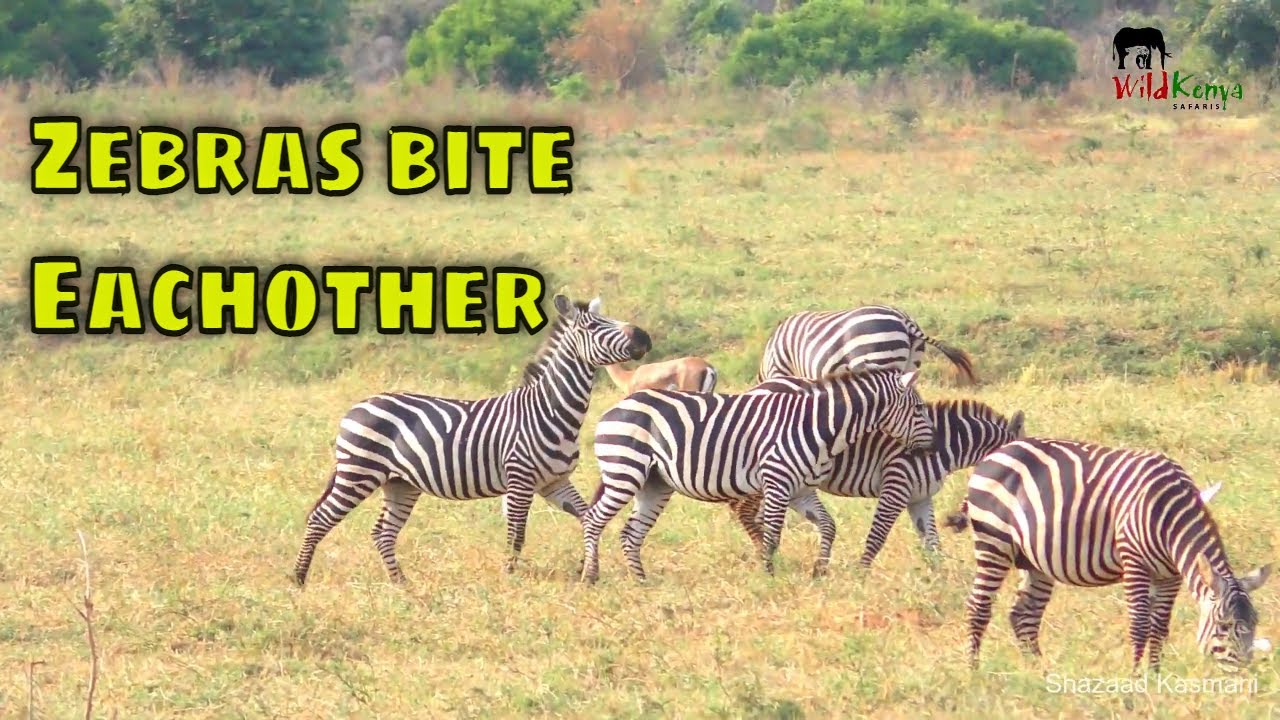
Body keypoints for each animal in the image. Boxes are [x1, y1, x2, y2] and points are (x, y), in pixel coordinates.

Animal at [291, 294, 652, 586]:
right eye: (593, 326)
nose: (644, 336)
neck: (549, 409)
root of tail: (356, 407)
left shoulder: (554, 482)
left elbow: (585, 515)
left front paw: (585, 566)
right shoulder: (520, 479)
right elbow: (516, 534)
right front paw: (509, 576)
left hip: (399, 483)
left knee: (382, 532)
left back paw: (400, 582)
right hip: (359, 472)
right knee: (320, 518)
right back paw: (298, 577)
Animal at [578, 365, 937, 584]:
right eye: (919, 408)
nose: (933, 444)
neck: (818, 425)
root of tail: (615, 409)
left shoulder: (800, 490)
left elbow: (828, 526)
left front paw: (819, 569)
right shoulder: (777, 482)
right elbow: (773, 536)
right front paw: (768, 576)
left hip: (654, 484)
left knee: (630, 533)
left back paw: (641, 580)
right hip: (625, 471)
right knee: (594, 520)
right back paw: (591, 576)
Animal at [723, 375, 1025, 569]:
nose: (957, 521)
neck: (945, 447)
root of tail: (756, 389)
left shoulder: (920, 497)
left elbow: (932, 544)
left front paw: (941, 581)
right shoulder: (896, 485)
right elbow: (877, 538)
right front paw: (861, 576)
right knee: (743, 509)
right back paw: (764, 553)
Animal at [943, 438, 1273, 672]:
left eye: (1255, 622)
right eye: (1224, 626)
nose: (1244, 675)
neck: (1170, 517)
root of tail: (996, 453)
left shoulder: (1169, 576)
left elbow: (1160, 628)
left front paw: (1155, 676)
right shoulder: (1134, 564)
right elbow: (1140, 625)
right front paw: (1135, 679)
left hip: (1034, 560)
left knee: (1024, 614)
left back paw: (1039, 671)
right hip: (993, 542)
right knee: (978, 607)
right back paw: (973, 671)